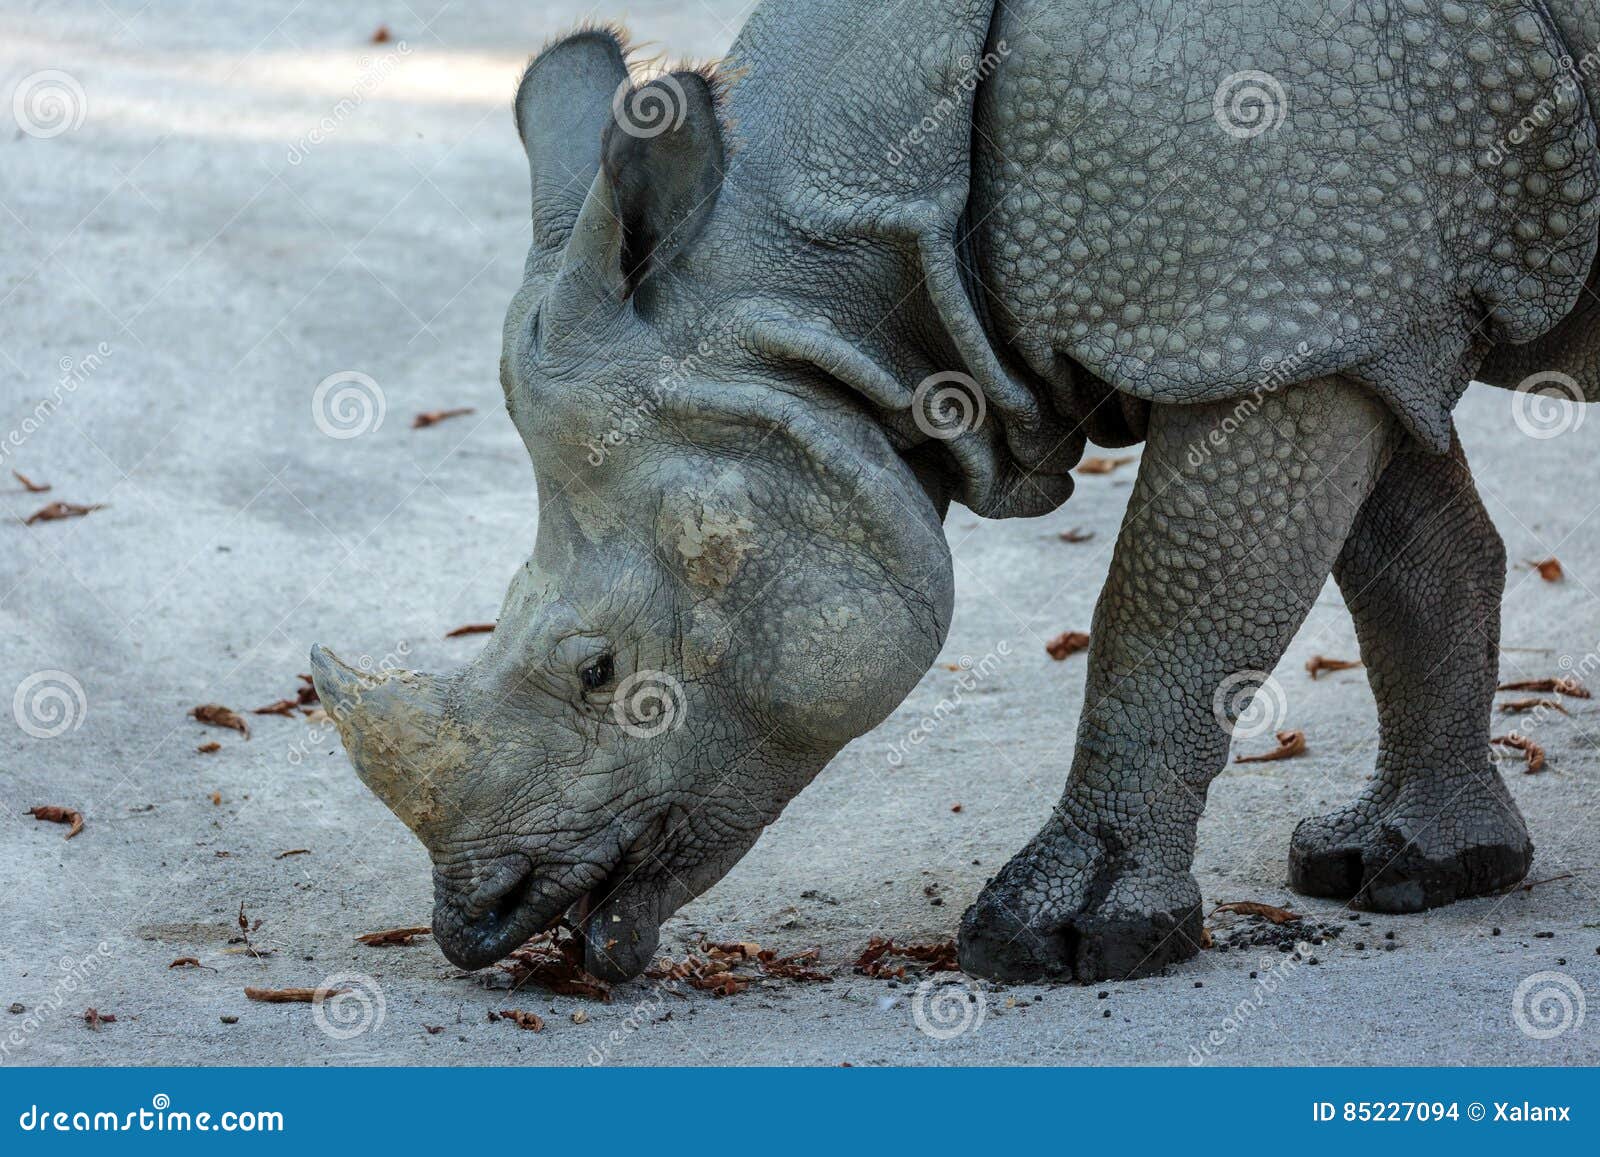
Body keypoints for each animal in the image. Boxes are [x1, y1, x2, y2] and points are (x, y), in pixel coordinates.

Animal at [310, 0, 1600, 984]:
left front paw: (1066, 940)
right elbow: (1414, 562)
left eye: (598, 670)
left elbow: (1174, 610)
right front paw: (1411, 867)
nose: (475, 922)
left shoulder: (1275, 296)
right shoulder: (1334, 306)